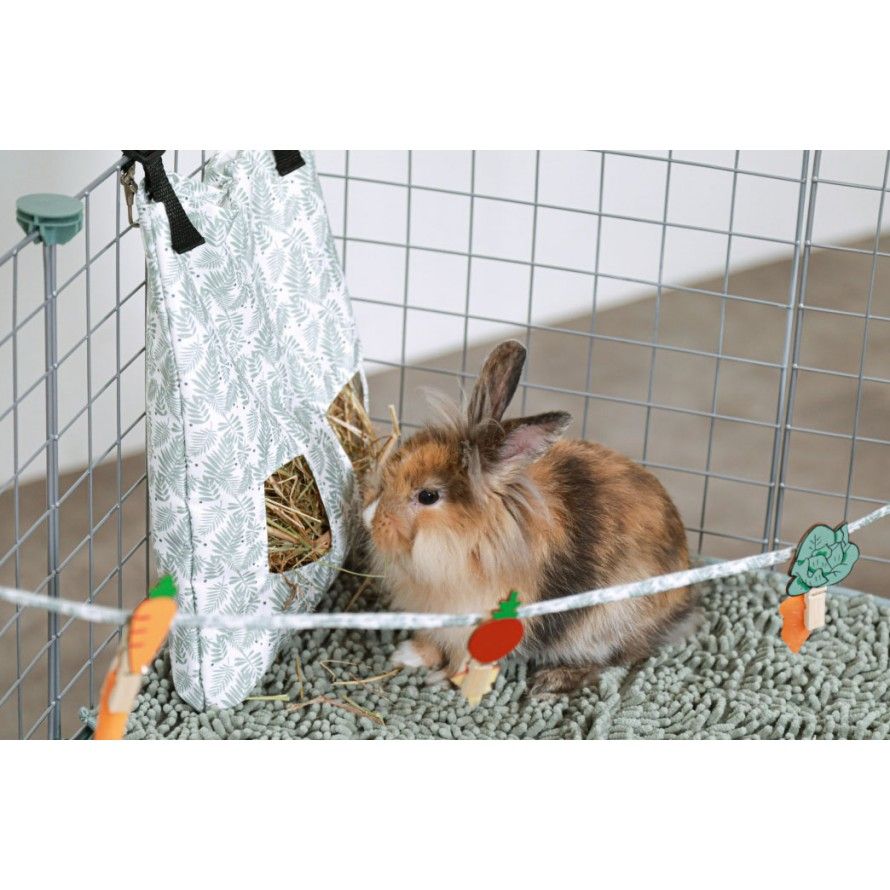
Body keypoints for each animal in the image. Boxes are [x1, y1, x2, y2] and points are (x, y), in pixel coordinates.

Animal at [361, 339, 699, 695]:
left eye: (428, 496)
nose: (368, 518)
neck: (472, 543)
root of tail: (684, 605)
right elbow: (431, 642)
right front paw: (408, 655)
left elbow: (465, 661)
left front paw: (444, 682)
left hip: (608, 622)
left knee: (619, 656)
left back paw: (551, 681)